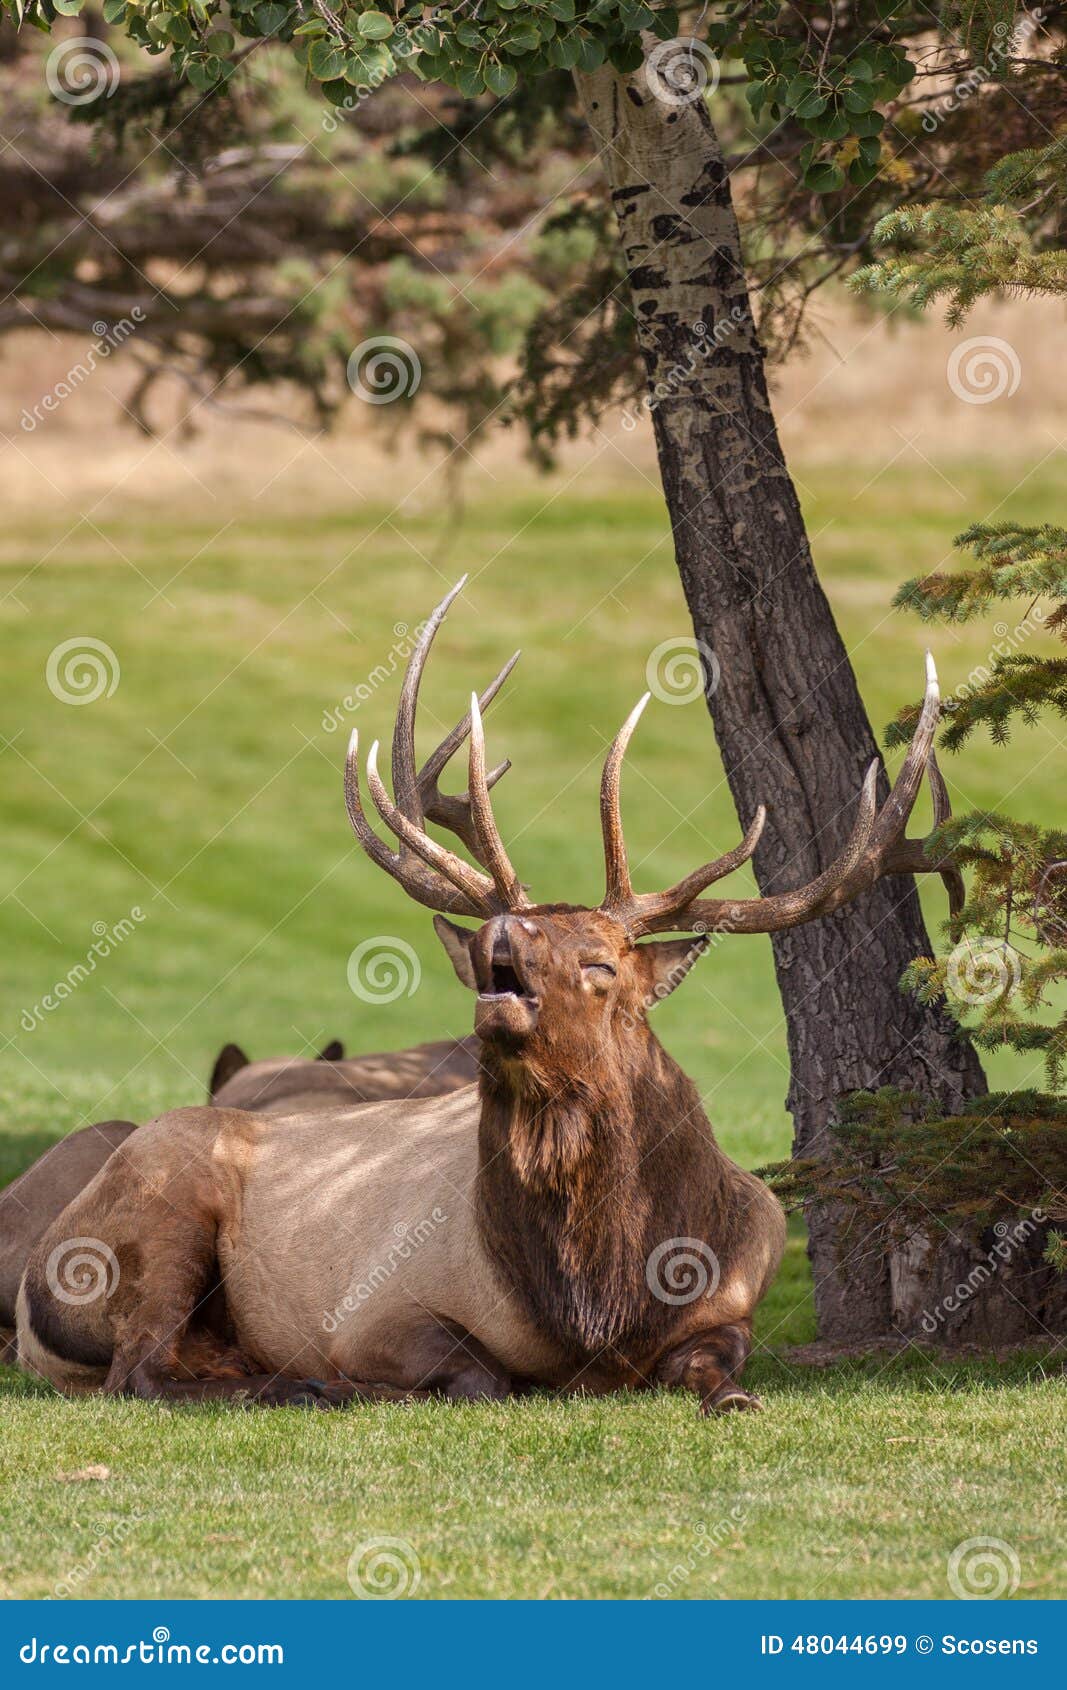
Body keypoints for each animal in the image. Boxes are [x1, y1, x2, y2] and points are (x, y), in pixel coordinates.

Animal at [14, 580, 955, 1415]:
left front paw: (732, 1399)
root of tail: (28, 1297)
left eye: (601, 963)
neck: (602, 1305)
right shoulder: (372, 1310)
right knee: (141, 1370)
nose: (500, 932)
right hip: (154, 1214)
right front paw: (355, 1384)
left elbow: (718, 1369)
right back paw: (294, 1386)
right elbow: (479, 1374)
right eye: (496, 934)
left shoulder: (737, 1304)